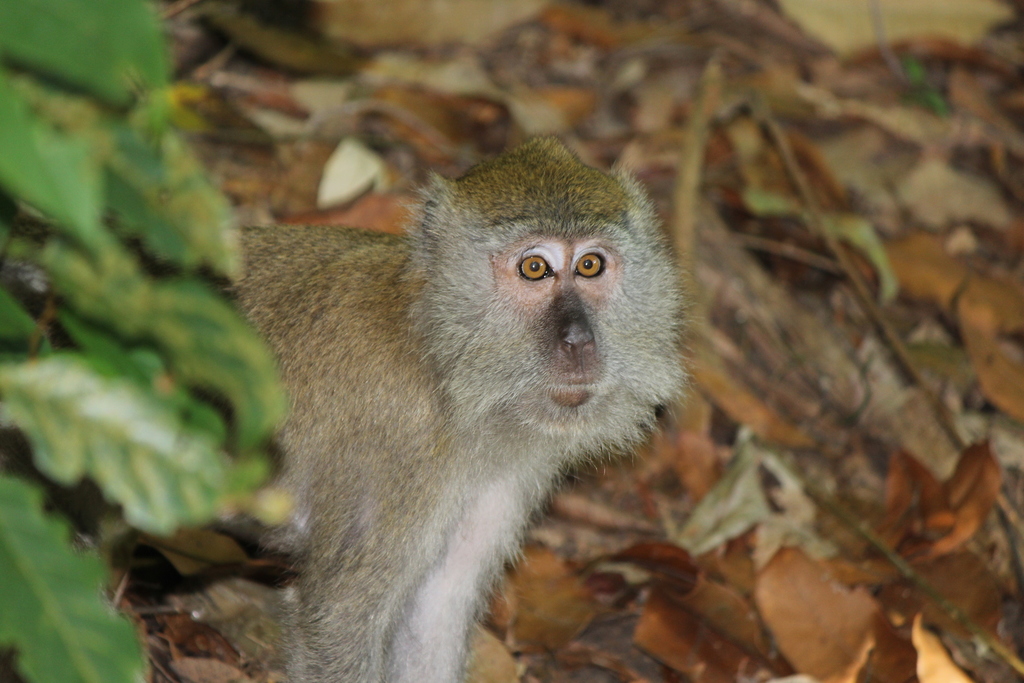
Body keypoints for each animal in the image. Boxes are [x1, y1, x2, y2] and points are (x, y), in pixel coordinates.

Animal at [234, 137, 687, 683]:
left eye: (590, 265)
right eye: (535, 268)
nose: (579, 340)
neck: (442, 367)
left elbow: (433, 613)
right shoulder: (399, 448)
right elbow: (337, 618)